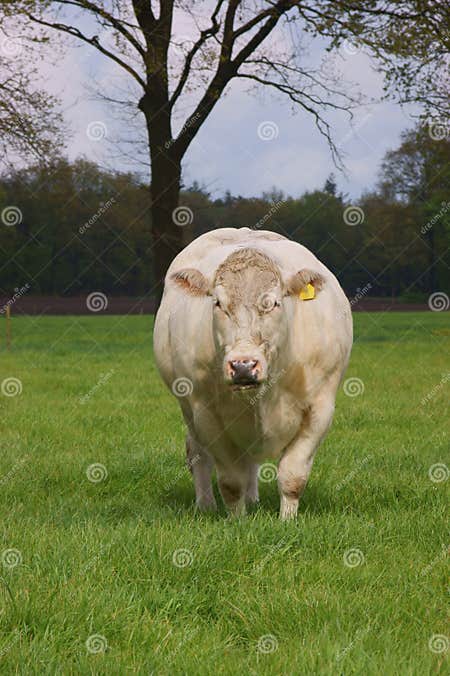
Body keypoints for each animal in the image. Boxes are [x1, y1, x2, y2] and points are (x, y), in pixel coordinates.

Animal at [153, 227, 353, 519]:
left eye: (274, 303)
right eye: (218, 303)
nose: (243, 366)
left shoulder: (320, 408)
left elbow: (292, 476)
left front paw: (287, 521)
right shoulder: (206, 414)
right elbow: (230, 481)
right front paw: (238, 521)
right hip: (188, 408)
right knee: (198, 455)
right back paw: (206, 505)